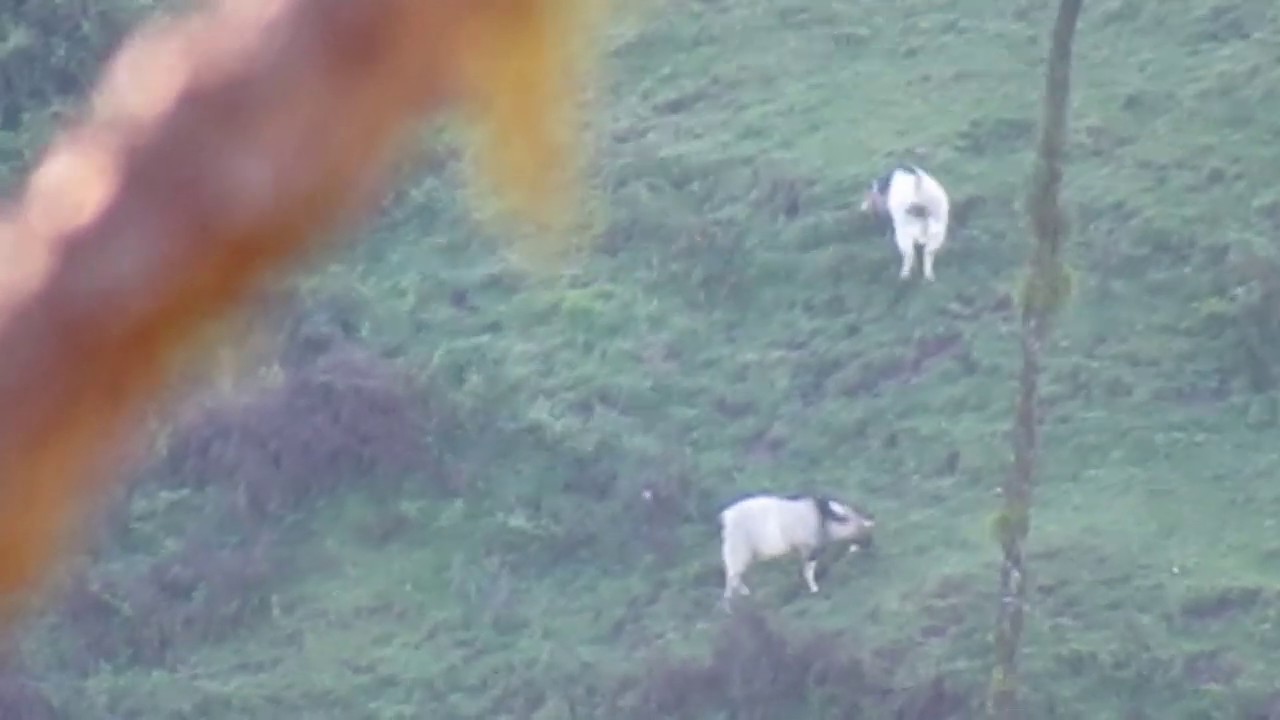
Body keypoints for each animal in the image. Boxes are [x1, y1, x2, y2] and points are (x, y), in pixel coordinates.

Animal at [719, 493, 875, 606]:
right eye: (862, 529)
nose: (869, 545)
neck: (824, 521)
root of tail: (726, 518)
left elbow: (804, 569)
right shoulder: (809, 549)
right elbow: (808, 570)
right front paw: (814, 589)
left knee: (734, 578)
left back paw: (743, 596)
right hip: (738, 551)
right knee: (732, 579)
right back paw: (732, 605)